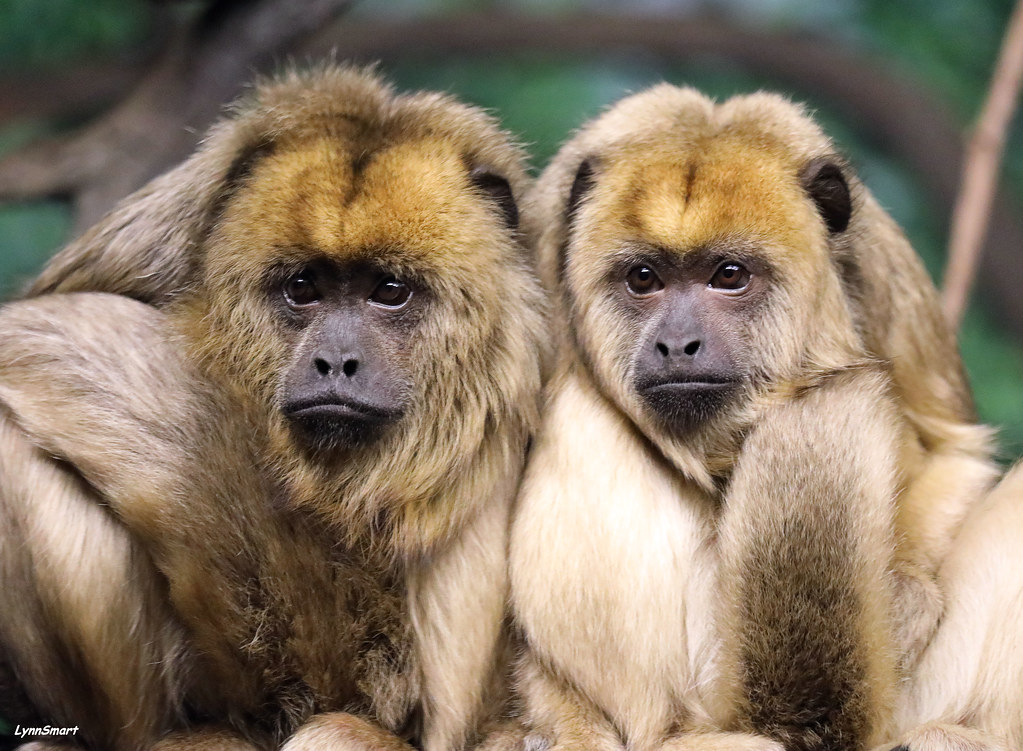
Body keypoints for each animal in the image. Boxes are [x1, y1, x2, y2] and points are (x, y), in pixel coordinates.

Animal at [507, 84, 999, 751]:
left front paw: (906, 599)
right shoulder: (535, 245)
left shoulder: (879, 260)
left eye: (729, 276)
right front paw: (566, 724)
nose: (678, 344)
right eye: (644, 278)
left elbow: (953, 447)